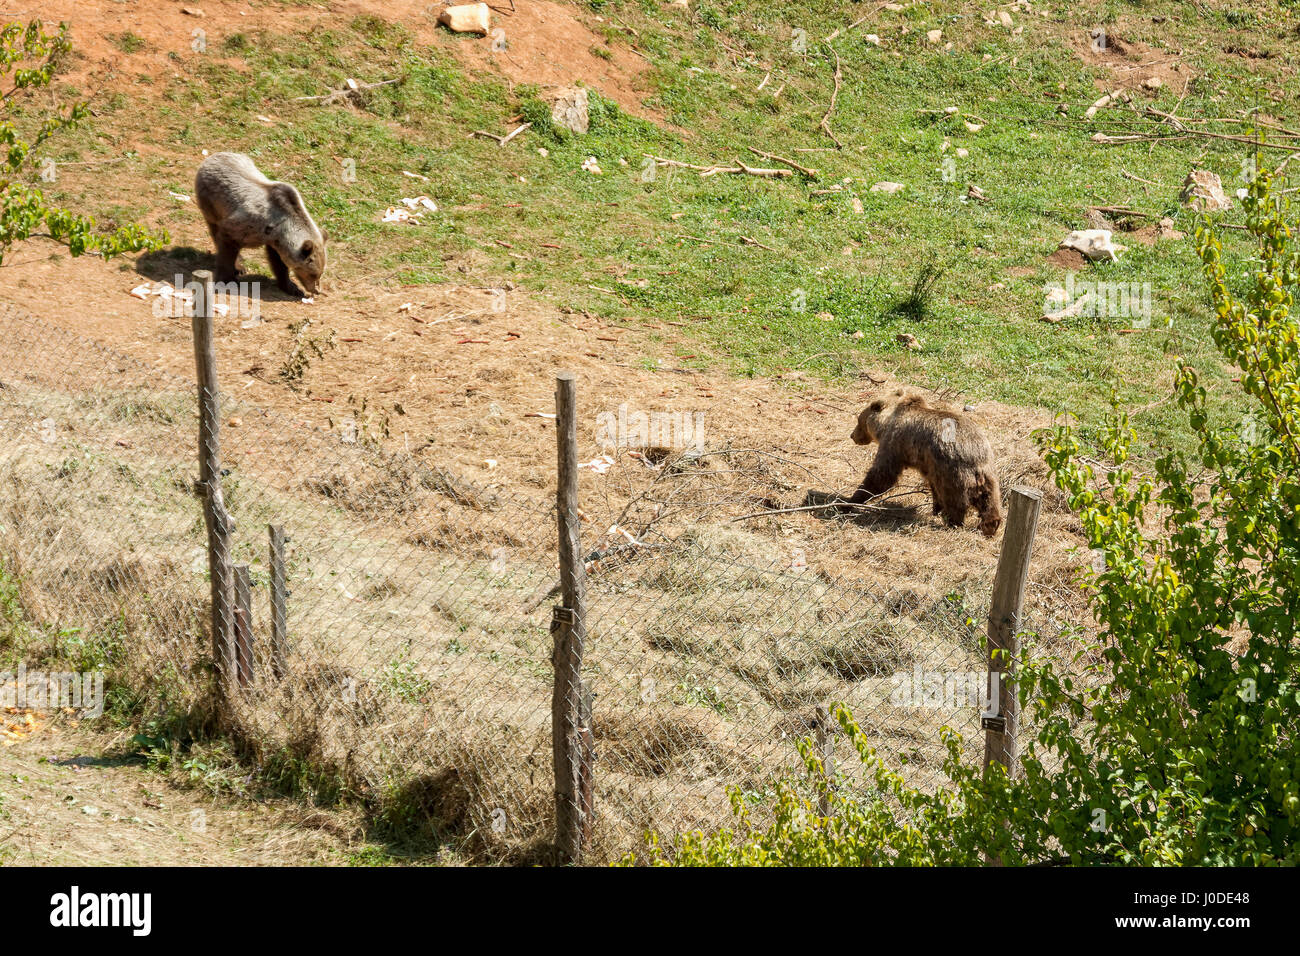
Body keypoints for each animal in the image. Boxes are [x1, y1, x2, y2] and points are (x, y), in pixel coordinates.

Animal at [194, 152, 326, 298]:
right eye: (313, 274)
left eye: (320, 273)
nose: (316, 290)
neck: (279, 227)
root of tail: (211, 157)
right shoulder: (249, 224)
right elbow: (227, 241)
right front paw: (228, 278)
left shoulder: (275, 240)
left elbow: (278, 263)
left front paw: (292, 287)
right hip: (212, 203)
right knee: (215, 229)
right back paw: (239, 267)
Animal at [849, 387, 1003, 537]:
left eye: (858, 421)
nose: (852, 436)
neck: (887, 423)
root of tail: (973, 452)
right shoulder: (926, 463)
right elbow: (931, 484)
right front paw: (935, 507)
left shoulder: (894, 444)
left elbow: (881, 475)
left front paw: (852, 499)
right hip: (988, 472)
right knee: (991, 501)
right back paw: (990, 526)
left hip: (952, 472)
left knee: (953, 501)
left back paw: (952, 522)